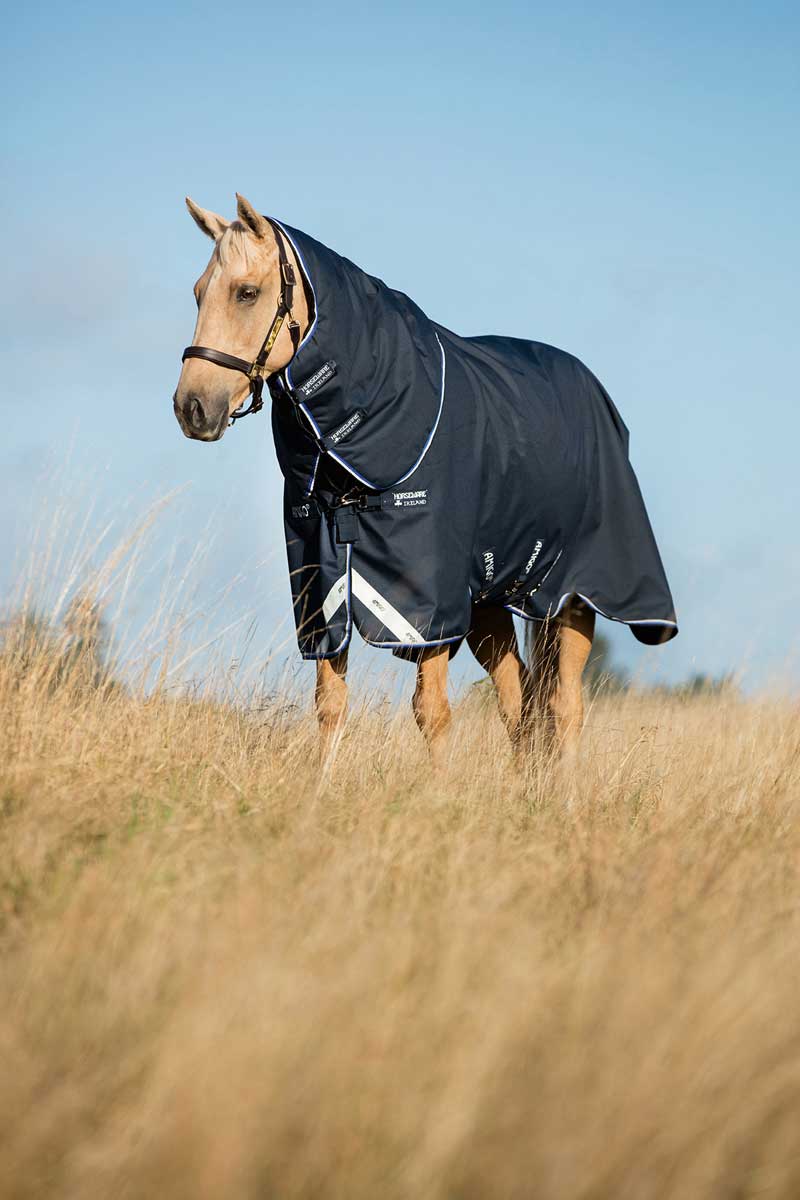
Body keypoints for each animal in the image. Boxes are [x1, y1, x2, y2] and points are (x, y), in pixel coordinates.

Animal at [174, 194, 677, 764]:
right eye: (198, 293)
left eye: (247, 292)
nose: (192, 407)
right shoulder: (324, 589)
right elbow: (329, 706)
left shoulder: (426, 603)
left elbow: (431, 712)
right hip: (487, 606)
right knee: (520, 703)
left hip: (574, 598)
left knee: (564, 708)